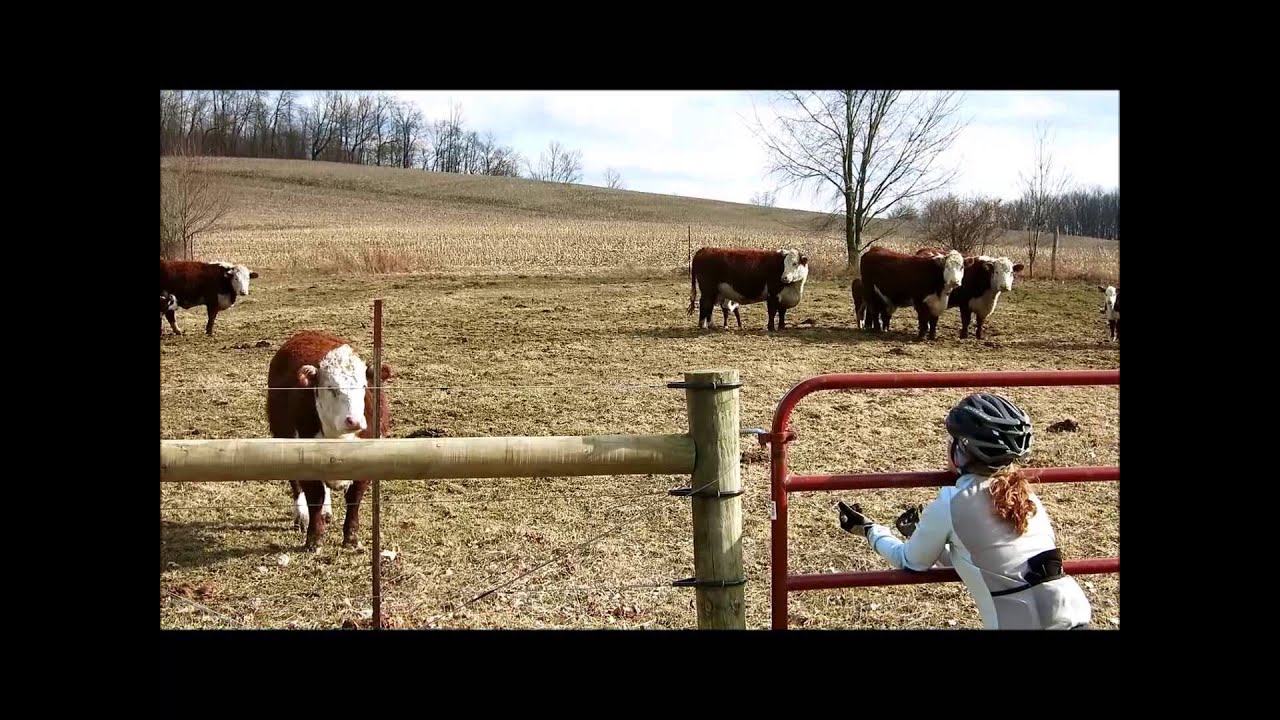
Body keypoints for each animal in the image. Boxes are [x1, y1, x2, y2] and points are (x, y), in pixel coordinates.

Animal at [266, 330, 392, 551]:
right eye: (331, 387)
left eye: (363, 386)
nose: (354, 421)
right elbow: (314, 497)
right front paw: (314, 539)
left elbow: (354, 497)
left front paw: (351, 538)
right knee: (297, 486)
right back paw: (302, 515)